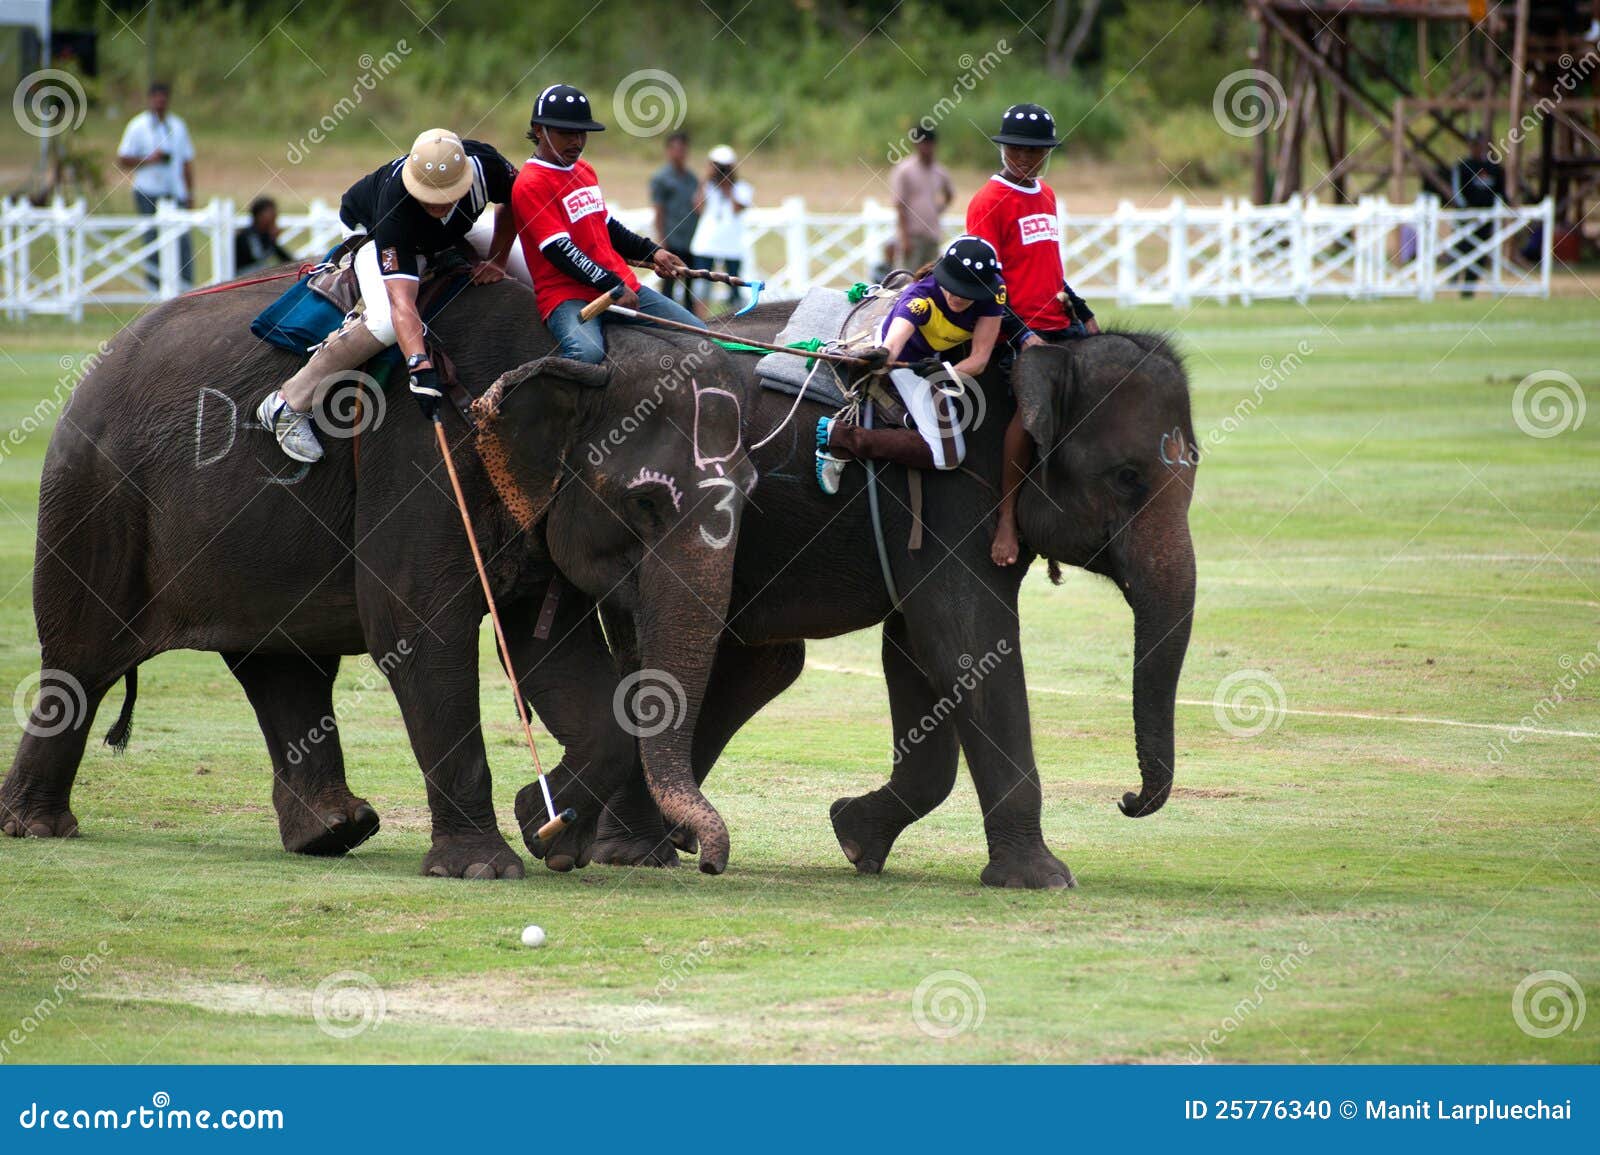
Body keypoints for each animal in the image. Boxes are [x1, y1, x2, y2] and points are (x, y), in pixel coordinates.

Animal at [0, 271, 756, 878]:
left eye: (749, 491)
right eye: (645, 502)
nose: (709, 862)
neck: (584, 351)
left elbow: (552, 656)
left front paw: (548, 829)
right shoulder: (423, 459)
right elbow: (415, 631)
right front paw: (485, 867)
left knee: (284, 666)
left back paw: (336, 831)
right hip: (94, 496)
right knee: (81, 660)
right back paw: (36, 826)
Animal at [575, 304, 1198, 888]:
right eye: (1128, 478)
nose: (1127, 800)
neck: (1039, 355)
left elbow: (918, 651)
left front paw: (853, 836)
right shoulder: (950, 490)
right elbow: (966, 641)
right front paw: (1043, 880)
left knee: (760, 663)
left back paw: (653, 841)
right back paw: (634, 850)